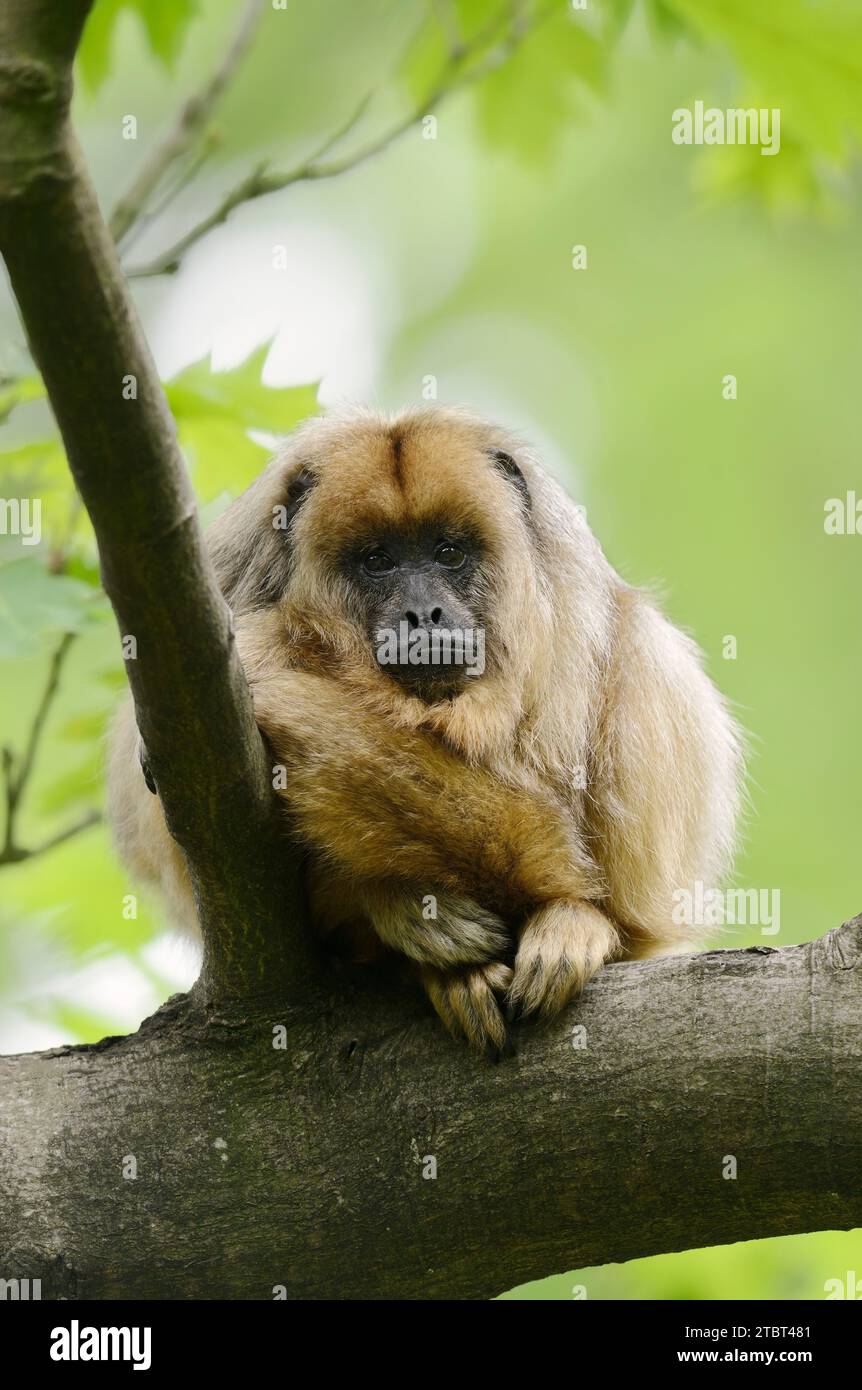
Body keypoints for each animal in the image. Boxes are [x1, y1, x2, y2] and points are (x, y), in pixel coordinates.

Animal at [108, 406, 744, 1053]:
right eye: (377, 560)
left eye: (448, 553)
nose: (424, 614)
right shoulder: (231, 590)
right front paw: (401, 906)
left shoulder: (567, 613)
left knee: (643, 646)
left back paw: (581, 925)